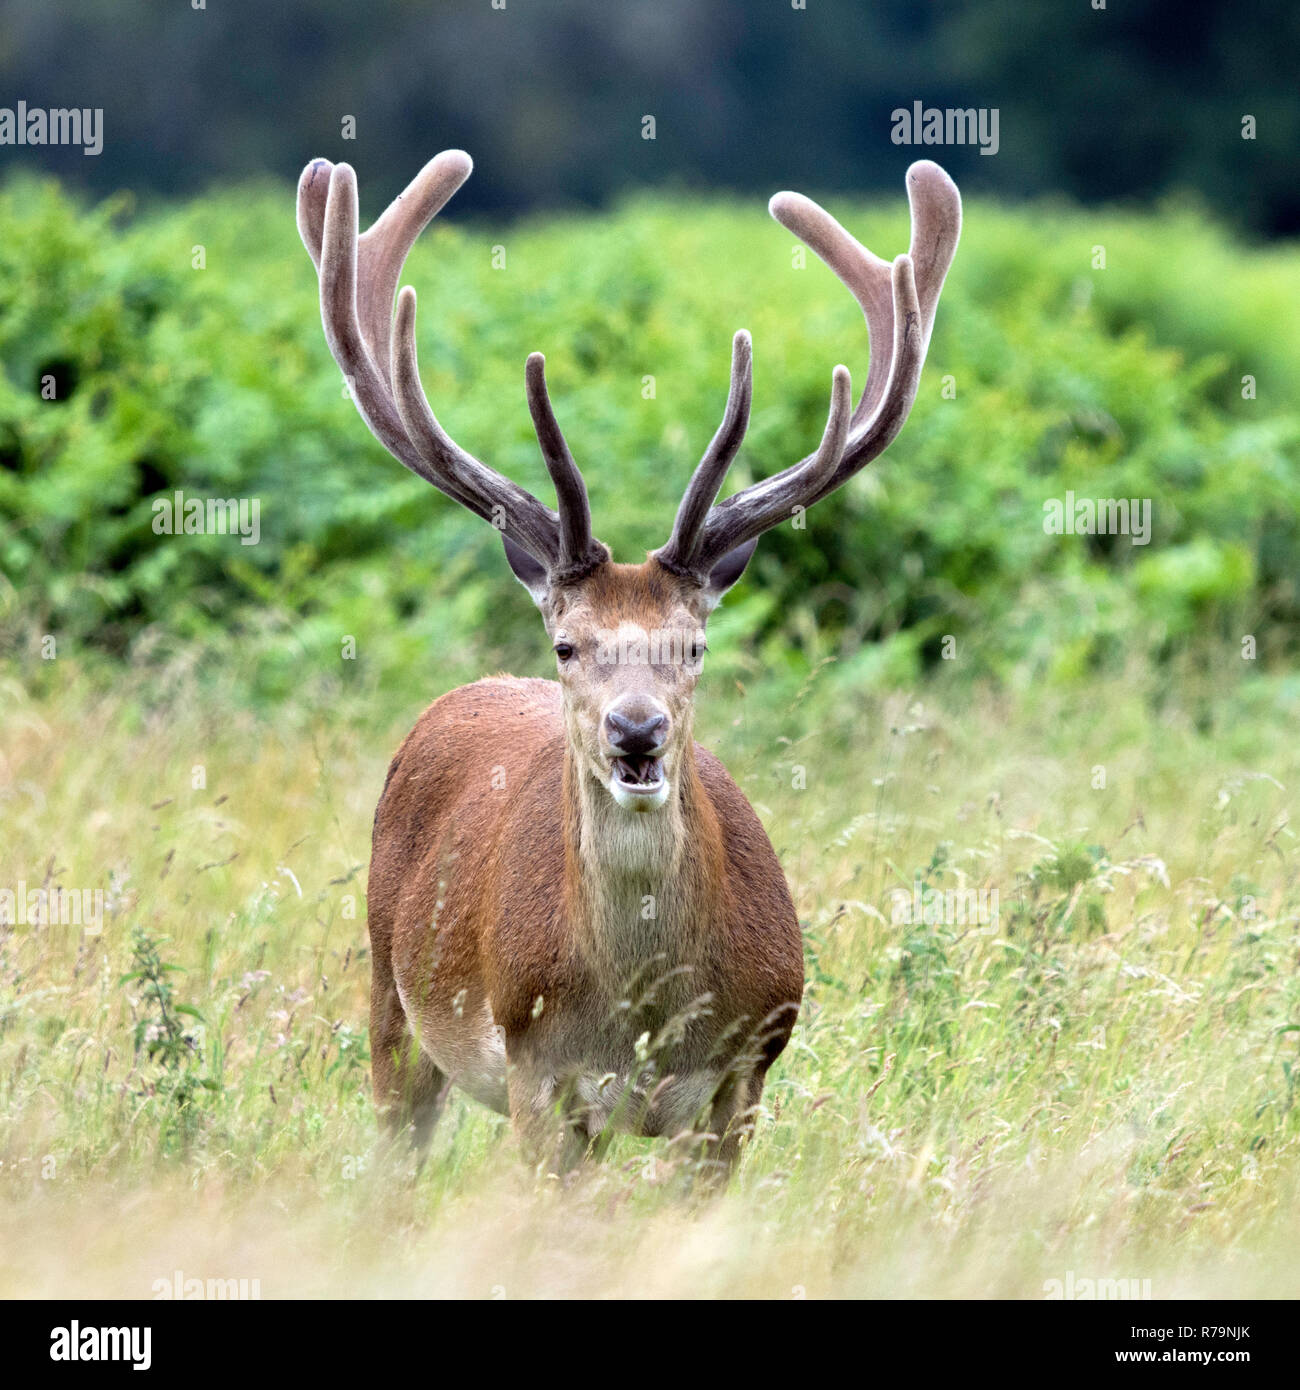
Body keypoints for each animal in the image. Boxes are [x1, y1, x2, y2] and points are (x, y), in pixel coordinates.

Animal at [295, 149, 960, 1178]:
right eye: (567, 644)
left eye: (694, 645)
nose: (636, 729)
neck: (642, 1014)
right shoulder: (537, 1077)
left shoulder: (743, 1078)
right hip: (387, 998)